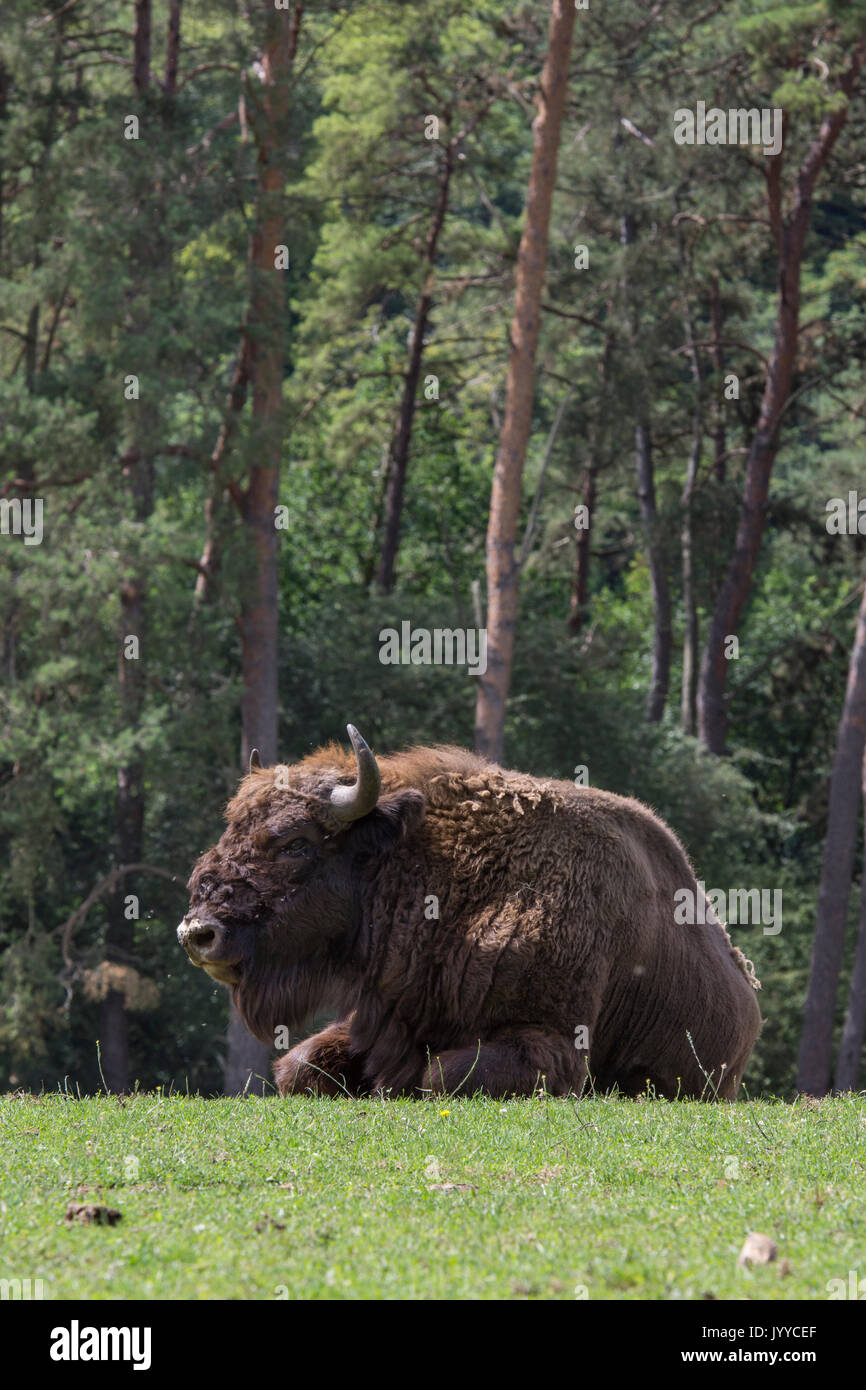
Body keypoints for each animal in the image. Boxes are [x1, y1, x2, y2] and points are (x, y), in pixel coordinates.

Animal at [178, 725, 762, 1100]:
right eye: (232, 827)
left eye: (296, 843)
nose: (197, 932)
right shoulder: (376, 1014)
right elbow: (296, 1069)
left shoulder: (551, 1043)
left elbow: (440, 1077)